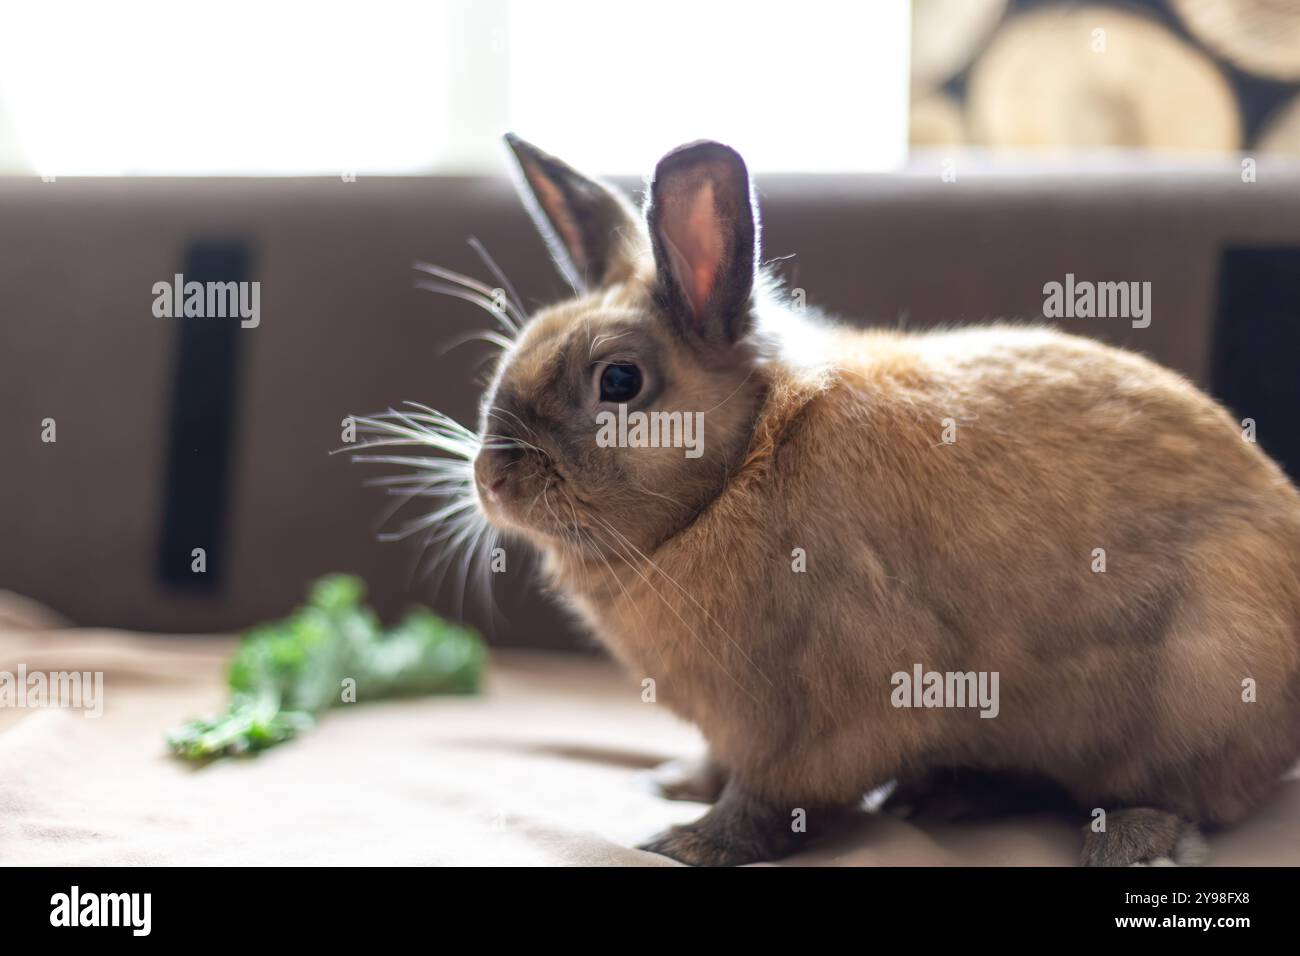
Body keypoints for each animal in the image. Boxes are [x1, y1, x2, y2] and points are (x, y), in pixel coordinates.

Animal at [396, 135, 1300, 866]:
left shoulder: (824, 715)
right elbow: (725, 766)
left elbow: (772, 797)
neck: (740, 467)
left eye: (620, 381)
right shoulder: (738, 723)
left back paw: (1129, 841)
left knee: (1184, 791)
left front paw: (686, 841)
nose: (491, 478)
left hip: (1198, 686)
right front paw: (677, 784)